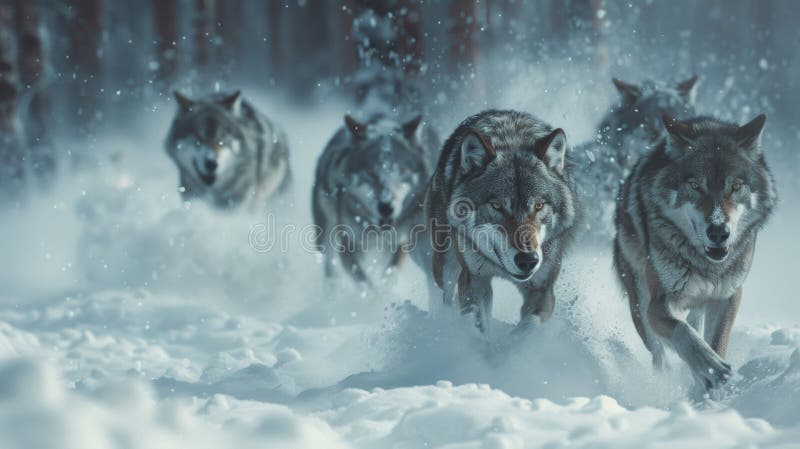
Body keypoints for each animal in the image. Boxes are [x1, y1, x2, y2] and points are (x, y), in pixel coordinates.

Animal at [312, 113, 440, 285]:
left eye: (402, 170)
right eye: (370, 171)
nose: (386, 207)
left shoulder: (402, 241)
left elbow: (389, 276)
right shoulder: (346, 246)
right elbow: (365, 283)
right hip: (327, 238)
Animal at [422, 110, 581, 333]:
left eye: (539, 205)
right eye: (497, 206)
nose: (527, 260)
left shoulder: (542, 290)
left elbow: (527, 328)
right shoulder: (474, 280)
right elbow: (479, 328)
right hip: (445, 265)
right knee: (443, 295)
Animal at [613, 113, 776, 391]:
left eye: (735, 186)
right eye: (695, 185)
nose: (719, 232)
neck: (706, 264)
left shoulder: (727, 297)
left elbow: (716, 342)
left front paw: (709, 389)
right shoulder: (659, 304)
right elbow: (684, 334)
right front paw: (710, 369)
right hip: (641, 305)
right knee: (660, 354)